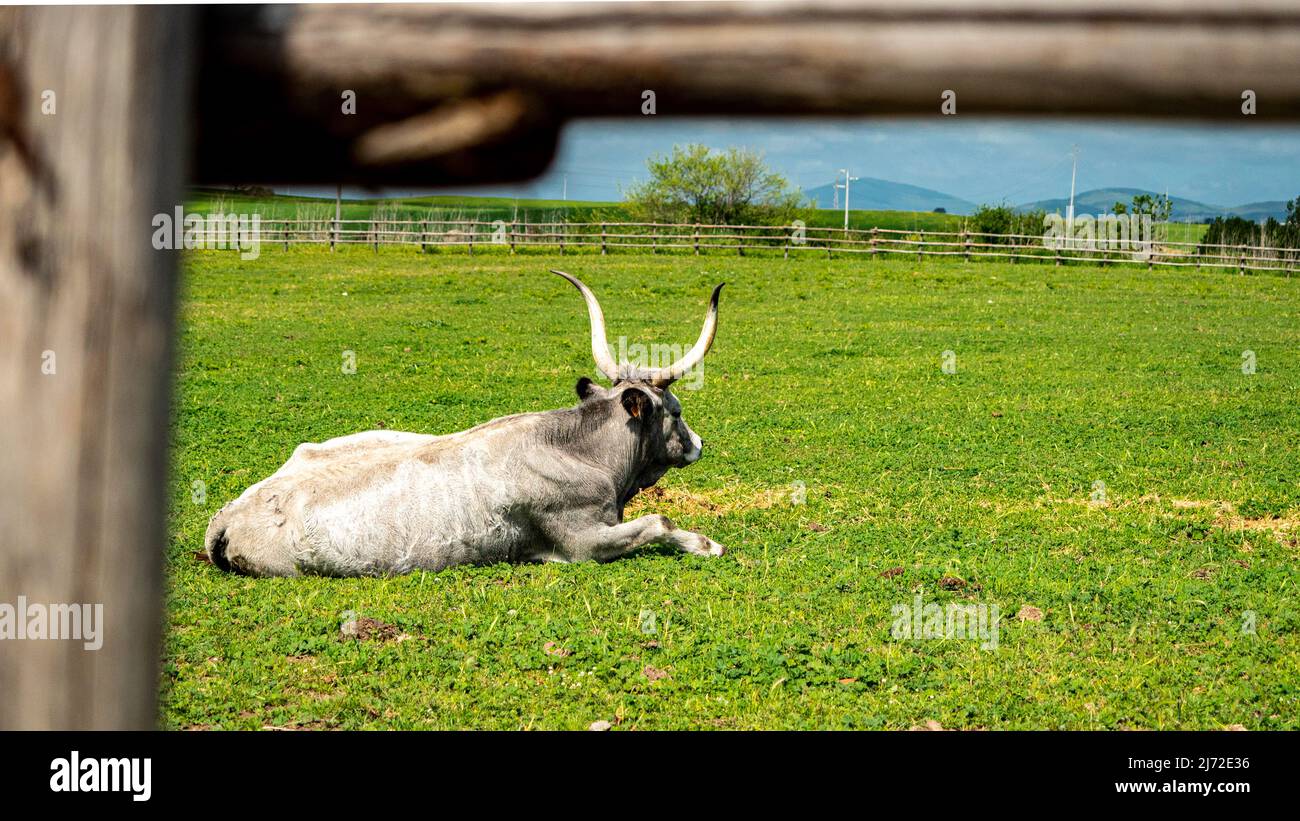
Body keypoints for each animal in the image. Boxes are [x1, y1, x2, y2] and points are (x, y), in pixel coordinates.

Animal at [203, 270, 727, 577]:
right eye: (676, 411)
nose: (699, 442)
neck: (578, 450)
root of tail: (226, 517)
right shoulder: (582, 542)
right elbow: (658, 521)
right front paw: (707, 544)